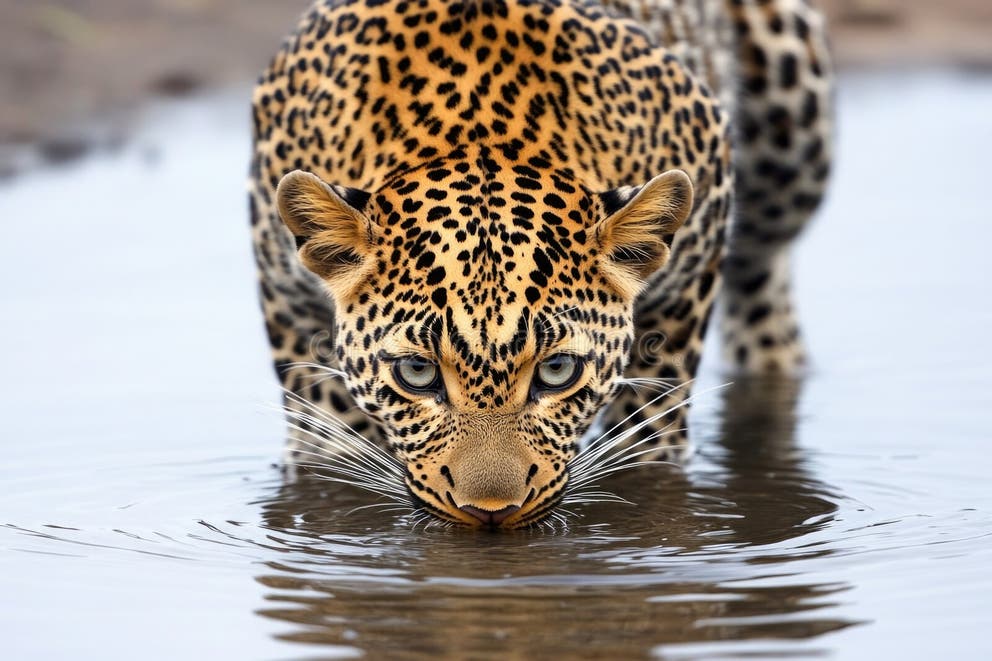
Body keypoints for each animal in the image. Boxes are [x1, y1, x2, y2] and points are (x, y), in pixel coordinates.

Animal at [249, 0, 833, 528]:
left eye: (557, 372)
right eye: (417, 373)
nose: (490, 514)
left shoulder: (692, 262)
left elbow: (651, 423)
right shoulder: (290, 302)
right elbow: (330, 434)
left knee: (762, 262)